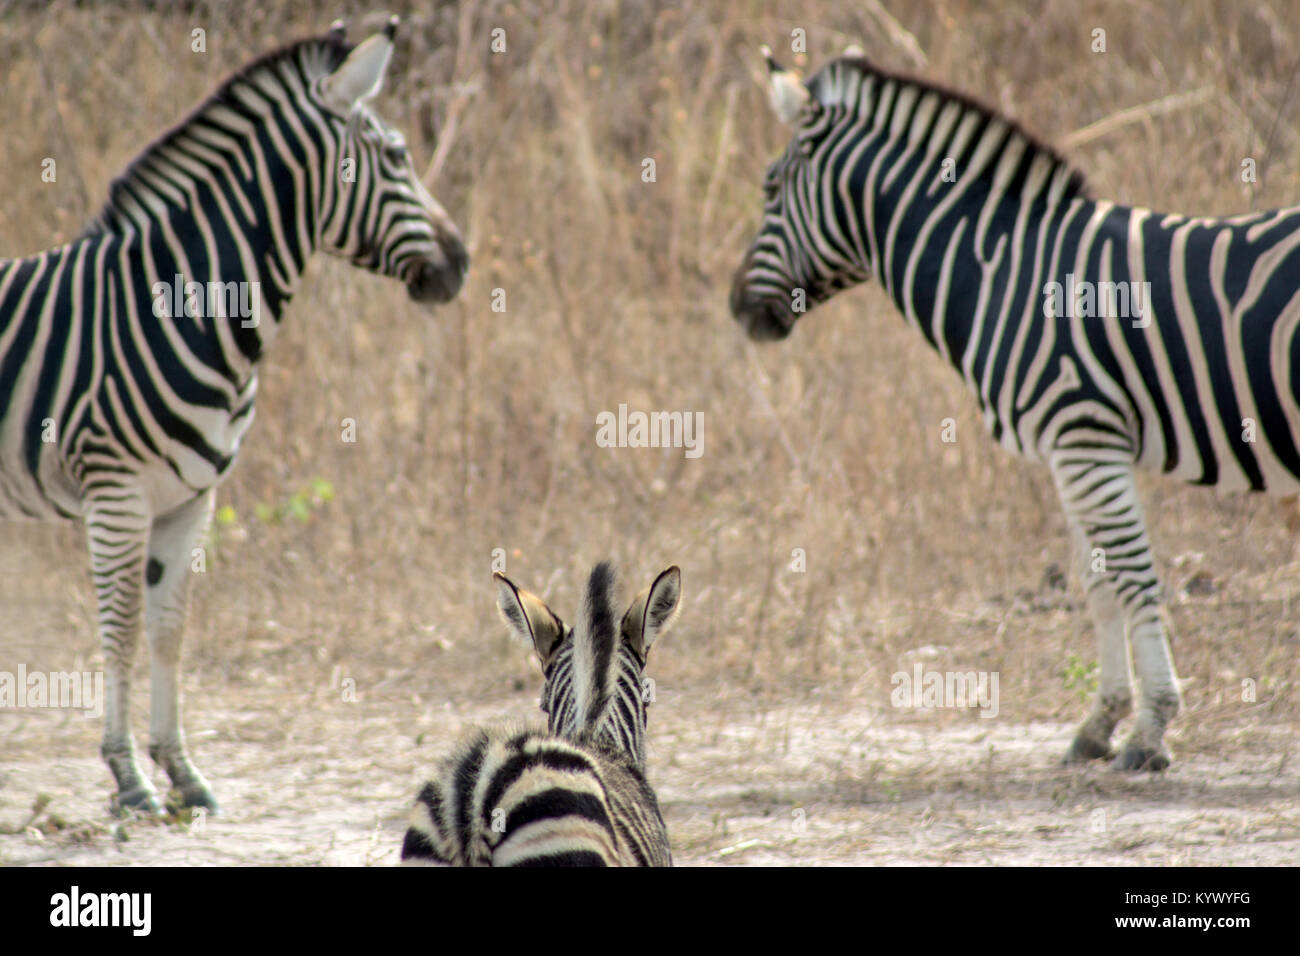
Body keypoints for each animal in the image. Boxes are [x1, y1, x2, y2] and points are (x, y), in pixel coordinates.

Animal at [0, 17, 467, 814]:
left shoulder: (191, 498)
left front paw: (182, 773)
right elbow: (123, 630)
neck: (181, 305)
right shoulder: (117, 494)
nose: (462, 263)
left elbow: (170, 629)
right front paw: (130, 780)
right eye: (399, 156)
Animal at [730, 46, 1300, 772]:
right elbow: (1096, 584)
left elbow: (1134, 580)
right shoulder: (1072, 452)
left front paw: (1150, 732)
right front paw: (1099, 724)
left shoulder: (1084, 438)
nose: (735, 307)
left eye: (770, 189)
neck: (1003, 271)